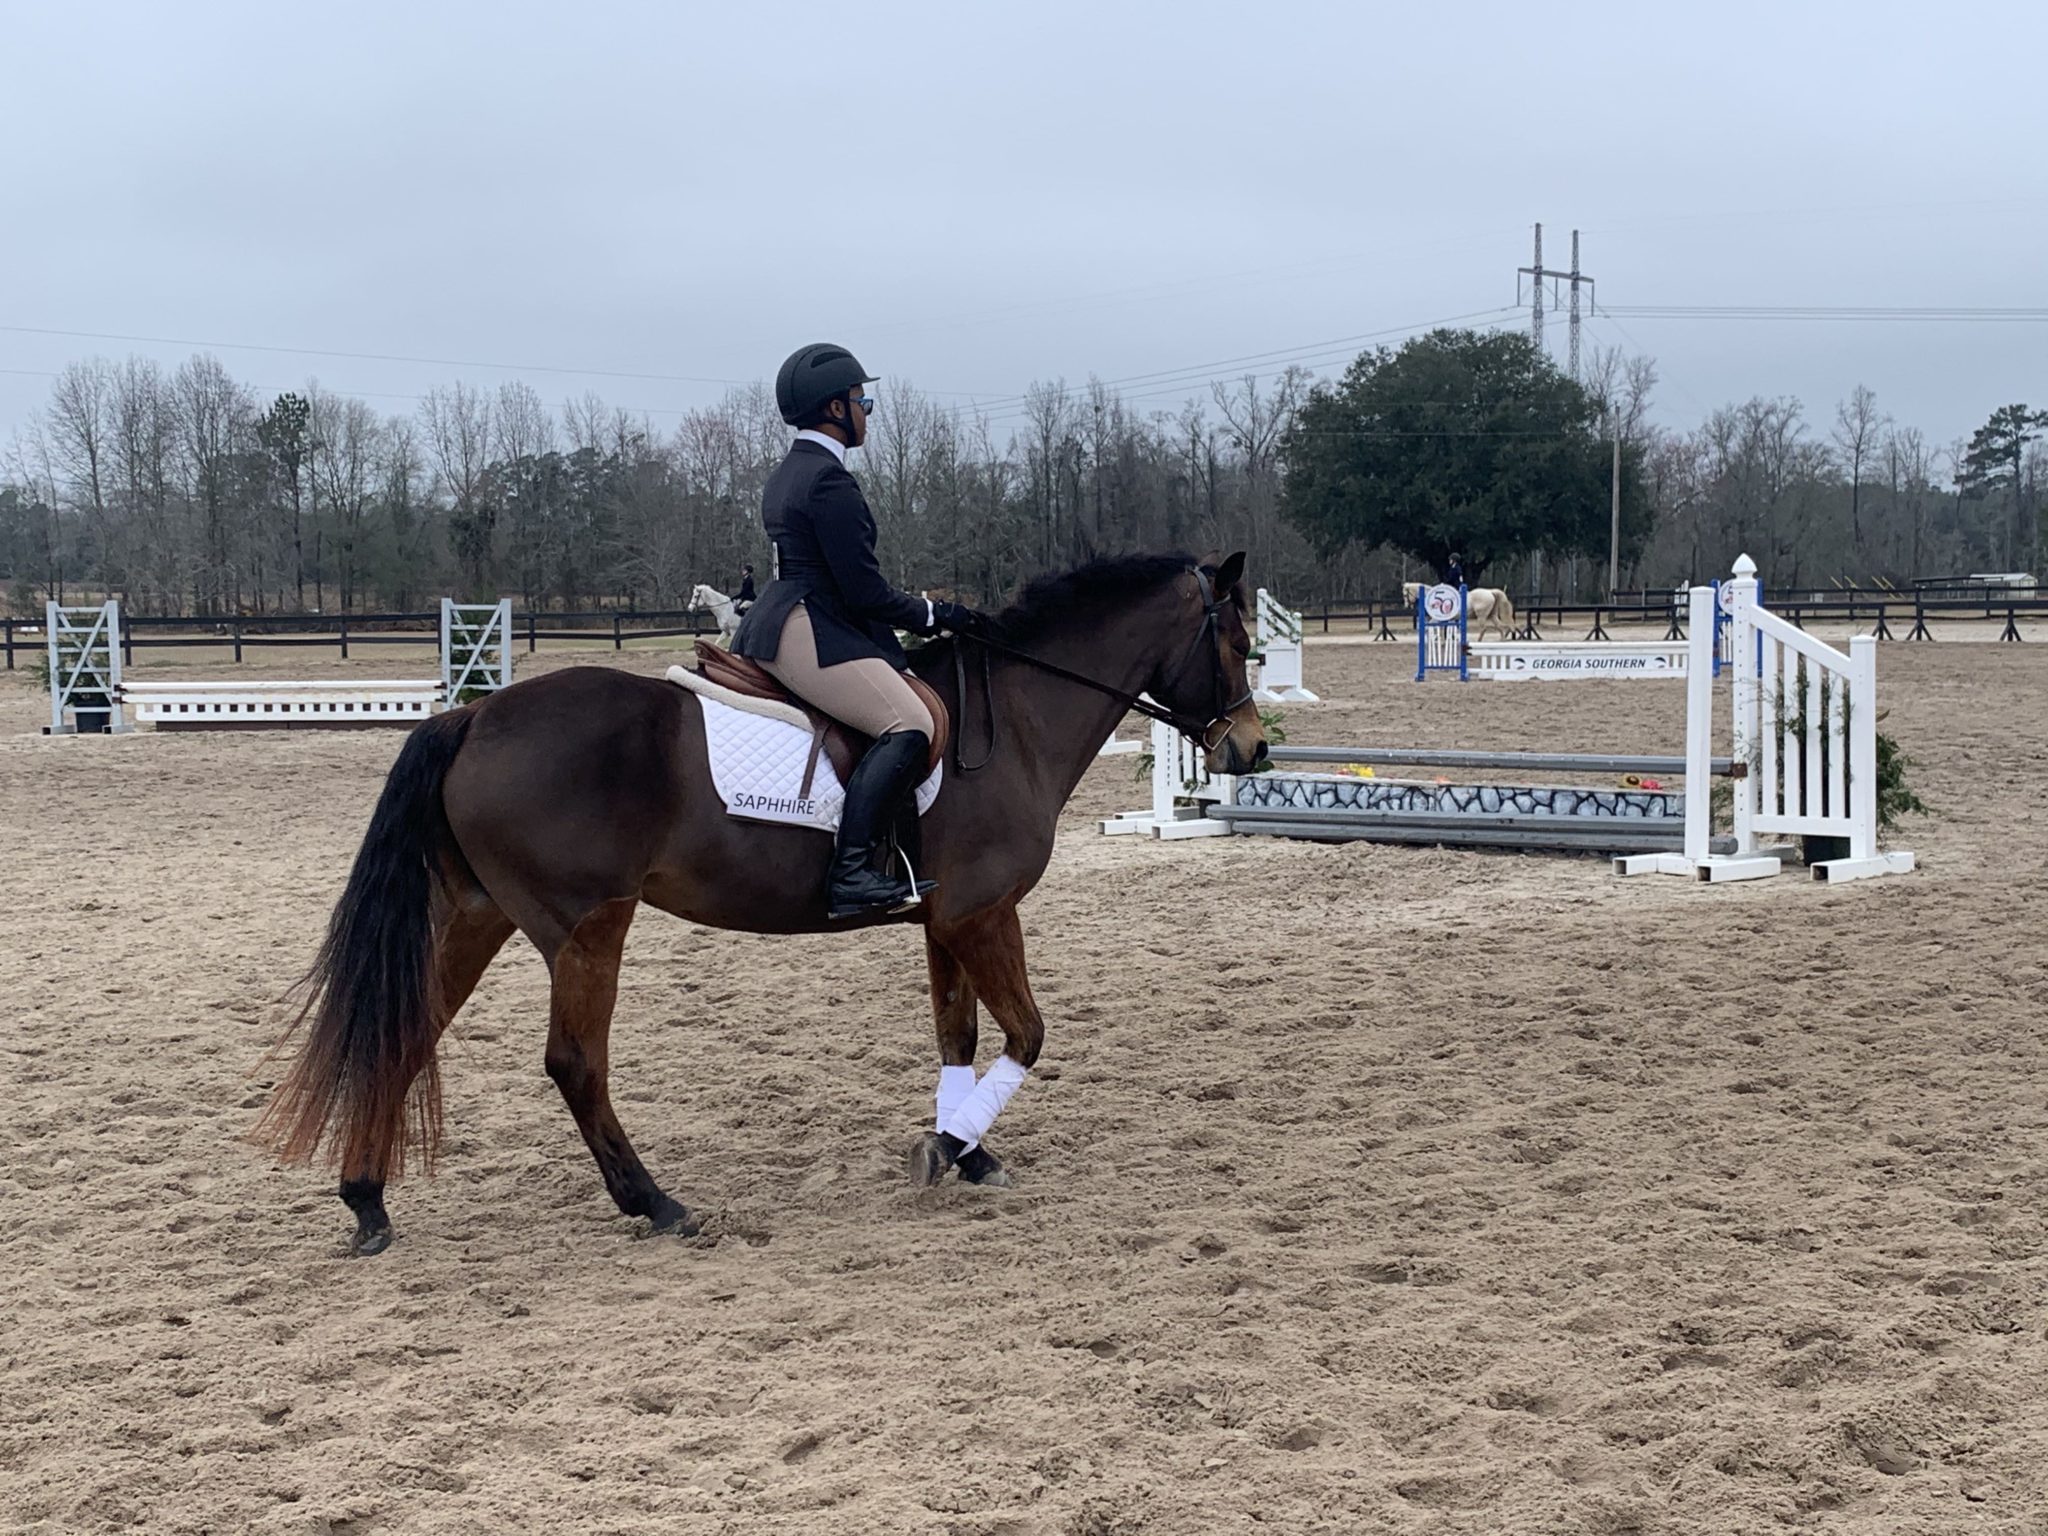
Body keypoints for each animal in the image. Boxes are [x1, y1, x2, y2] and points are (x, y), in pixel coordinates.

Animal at [257, 552, 1269, 1256]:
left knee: (405, 1033)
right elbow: (1026, 1034)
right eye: (1235, 642)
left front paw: (964, 1149)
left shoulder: (944, 921)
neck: (1014, 721)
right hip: (587, 926)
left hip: (478, 915)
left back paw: (367, 1201)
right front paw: (951, 1149)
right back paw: (658, 1204)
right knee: (575, 1064)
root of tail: (471, 716)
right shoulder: (984, 914)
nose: (1252, 750)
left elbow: (959, 1034)